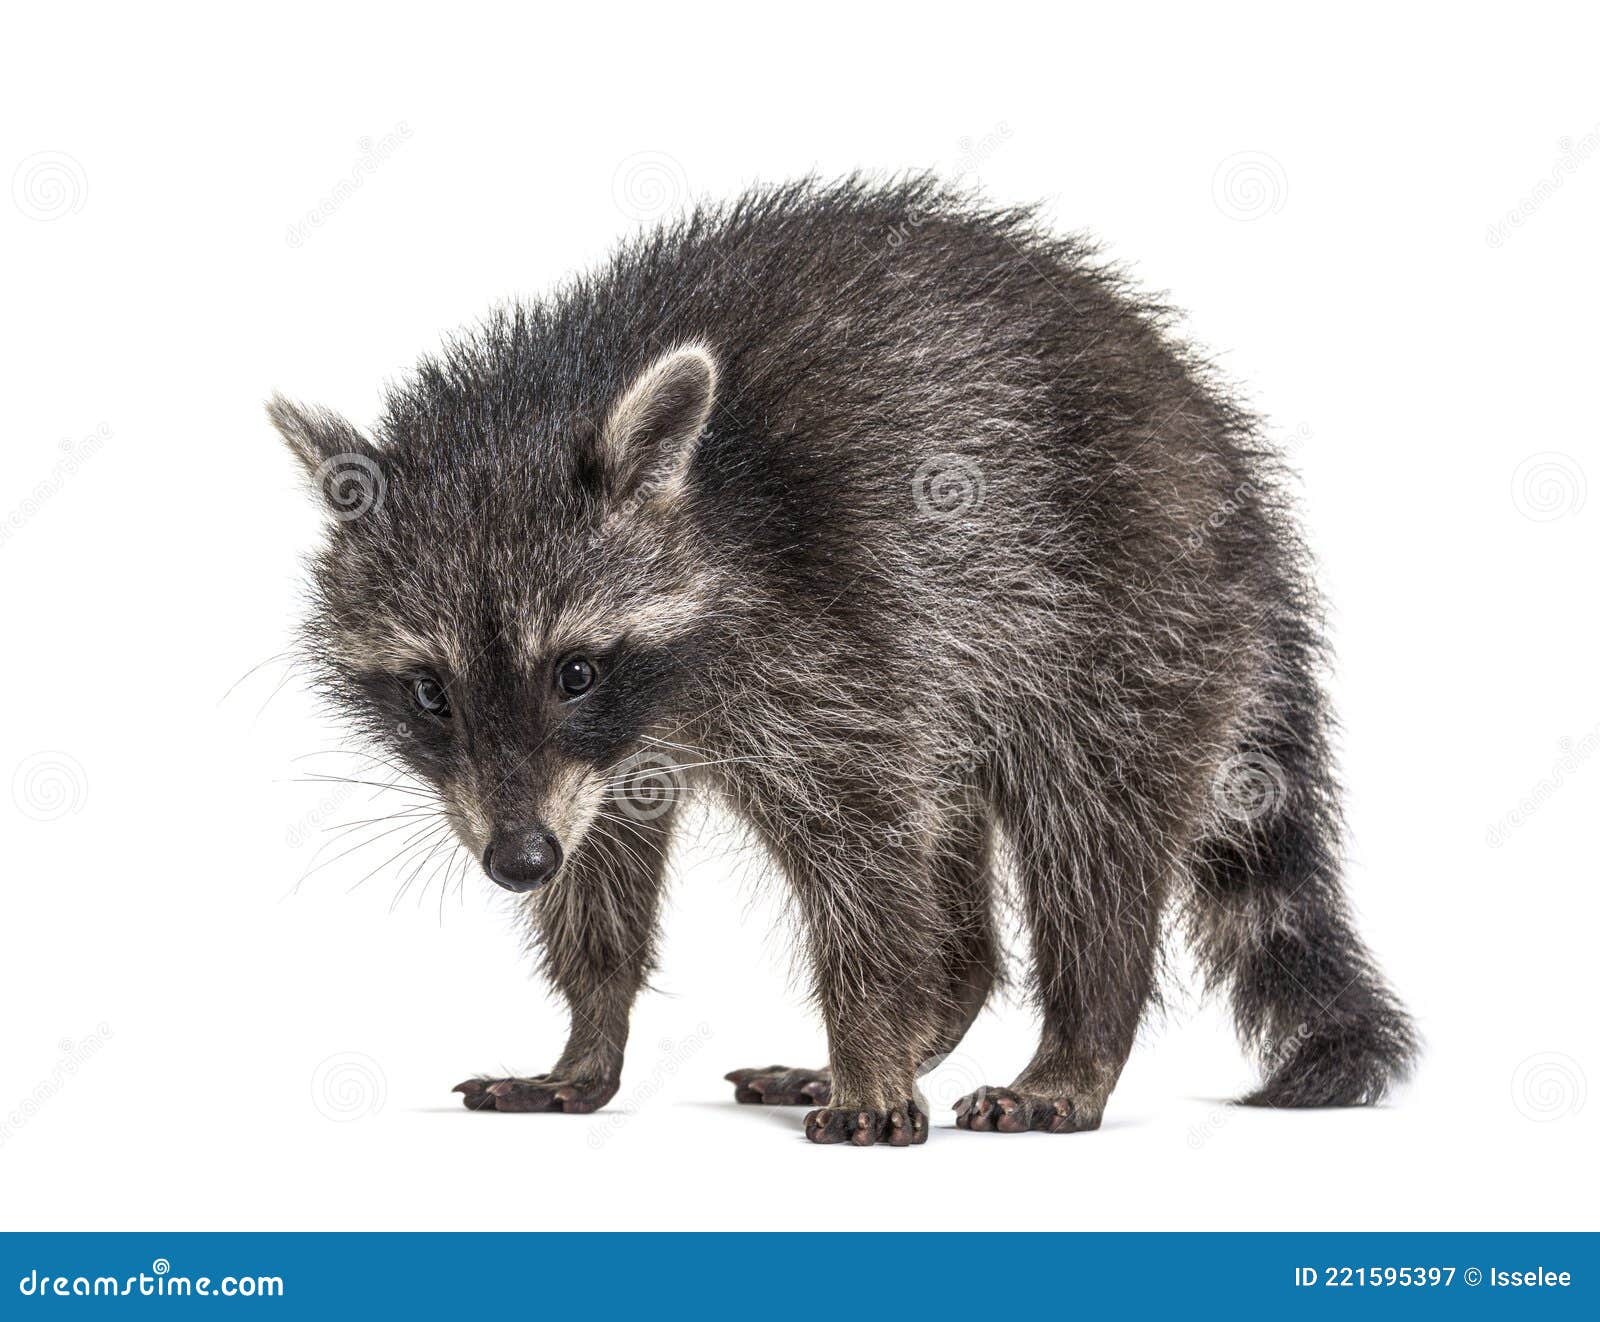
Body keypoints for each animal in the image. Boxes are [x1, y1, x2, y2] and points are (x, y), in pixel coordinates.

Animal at [271, 176, 1416, 1146]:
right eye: (431, 692)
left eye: (575, 672)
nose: (516, 862)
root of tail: (1228, 473)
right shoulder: (601, 761)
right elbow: (603, 863)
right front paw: (589, 1034)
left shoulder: (819, 630)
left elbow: (862, 851)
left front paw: (869, 1037)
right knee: (950, 824)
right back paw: (943, 999)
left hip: (1125, 616)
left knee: (1088, 832)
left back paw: (1075, 1039)